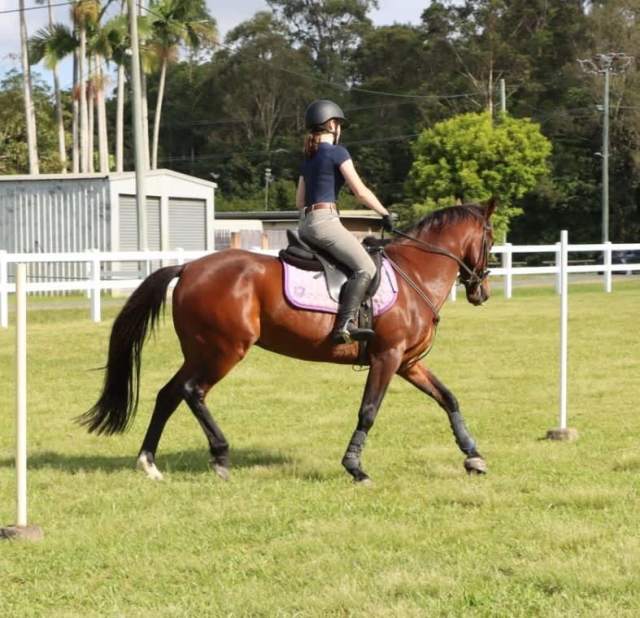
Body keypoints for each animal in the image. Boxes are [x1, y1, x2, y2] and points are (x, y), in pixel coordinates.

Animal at [80, 200, 496, 484]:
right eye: (491, 239)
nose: (483, 293)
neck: (416, 274)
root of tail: (189, 267)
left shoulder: (407, 362)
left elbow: (448, 398)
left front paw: (473, 456)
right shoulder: (387, 357)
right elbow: (368, 411)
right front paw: (355, 468)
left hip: (199, 351)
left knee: (169, 394)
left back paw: (149, 462)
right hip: (224, 351)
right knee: (192, 392)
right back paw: (220, 456)